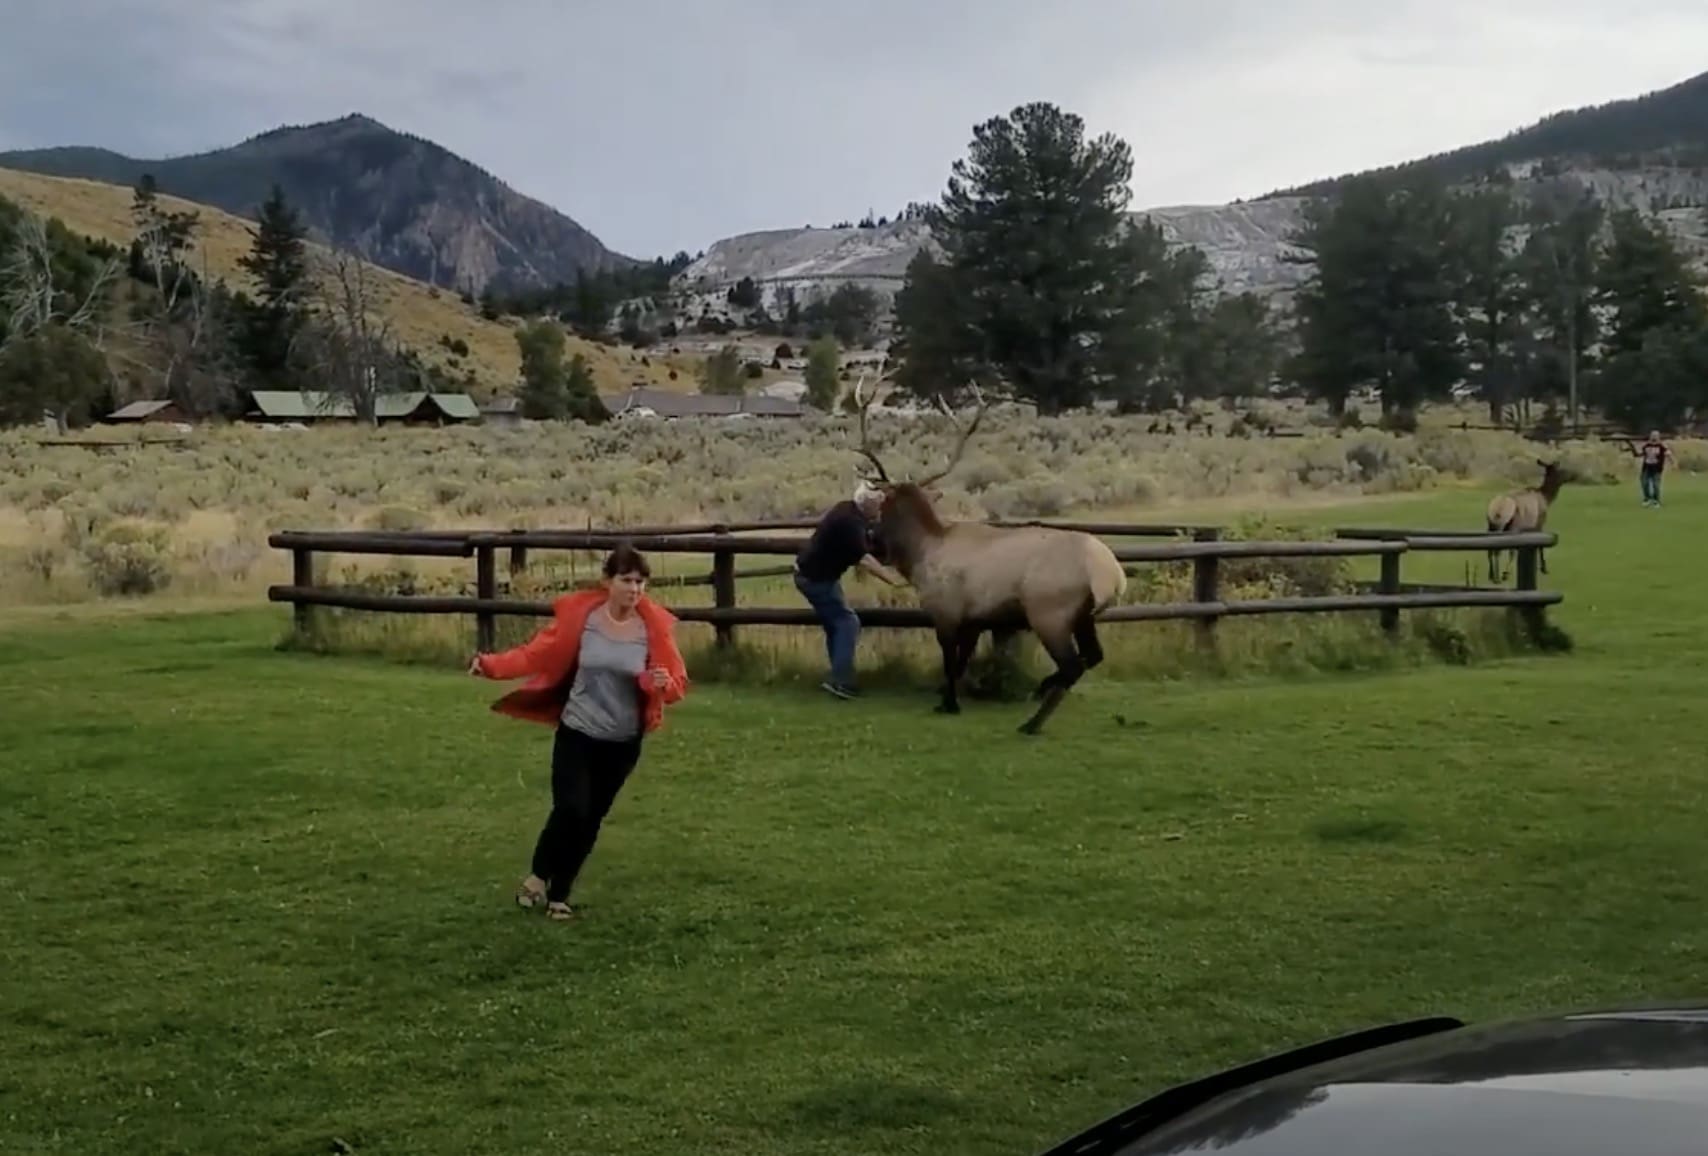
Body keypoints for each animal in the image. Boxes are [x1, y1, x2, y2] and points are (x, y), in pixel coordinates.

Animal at [850, 376, 1129, 736]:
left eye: (882, 509)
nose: (873, 542)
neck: (922, 552)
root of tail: (1113, 577)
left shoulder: (946, 611)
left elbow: (949, 659)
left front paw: (949, 703)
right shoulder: (975, 620)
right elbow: (961, 661)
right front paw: (947, 700)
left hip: (1049, 612)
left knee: (1073, 665)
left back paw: (1032, 721)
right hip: (1084, 616)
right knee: (1093, 656)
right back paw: (1041, 694)